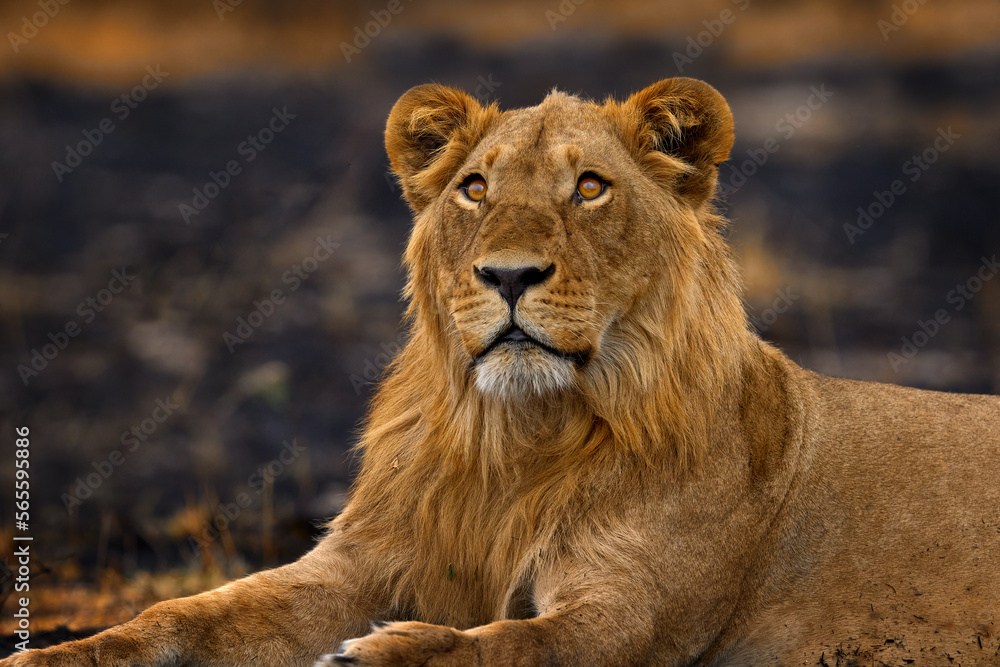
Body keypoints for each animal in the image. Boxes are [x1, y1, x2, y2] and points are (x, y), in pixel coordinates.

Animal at [4, 77, 999, 667]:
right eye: (474, 188)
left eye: (589, 187)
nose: (509, 276)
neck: (517, 435)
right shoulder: (361, 560)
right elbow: (189, 613)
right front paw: (54, 655)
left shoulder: (628, 614)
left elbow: (506, 646)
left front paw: (385, 655)